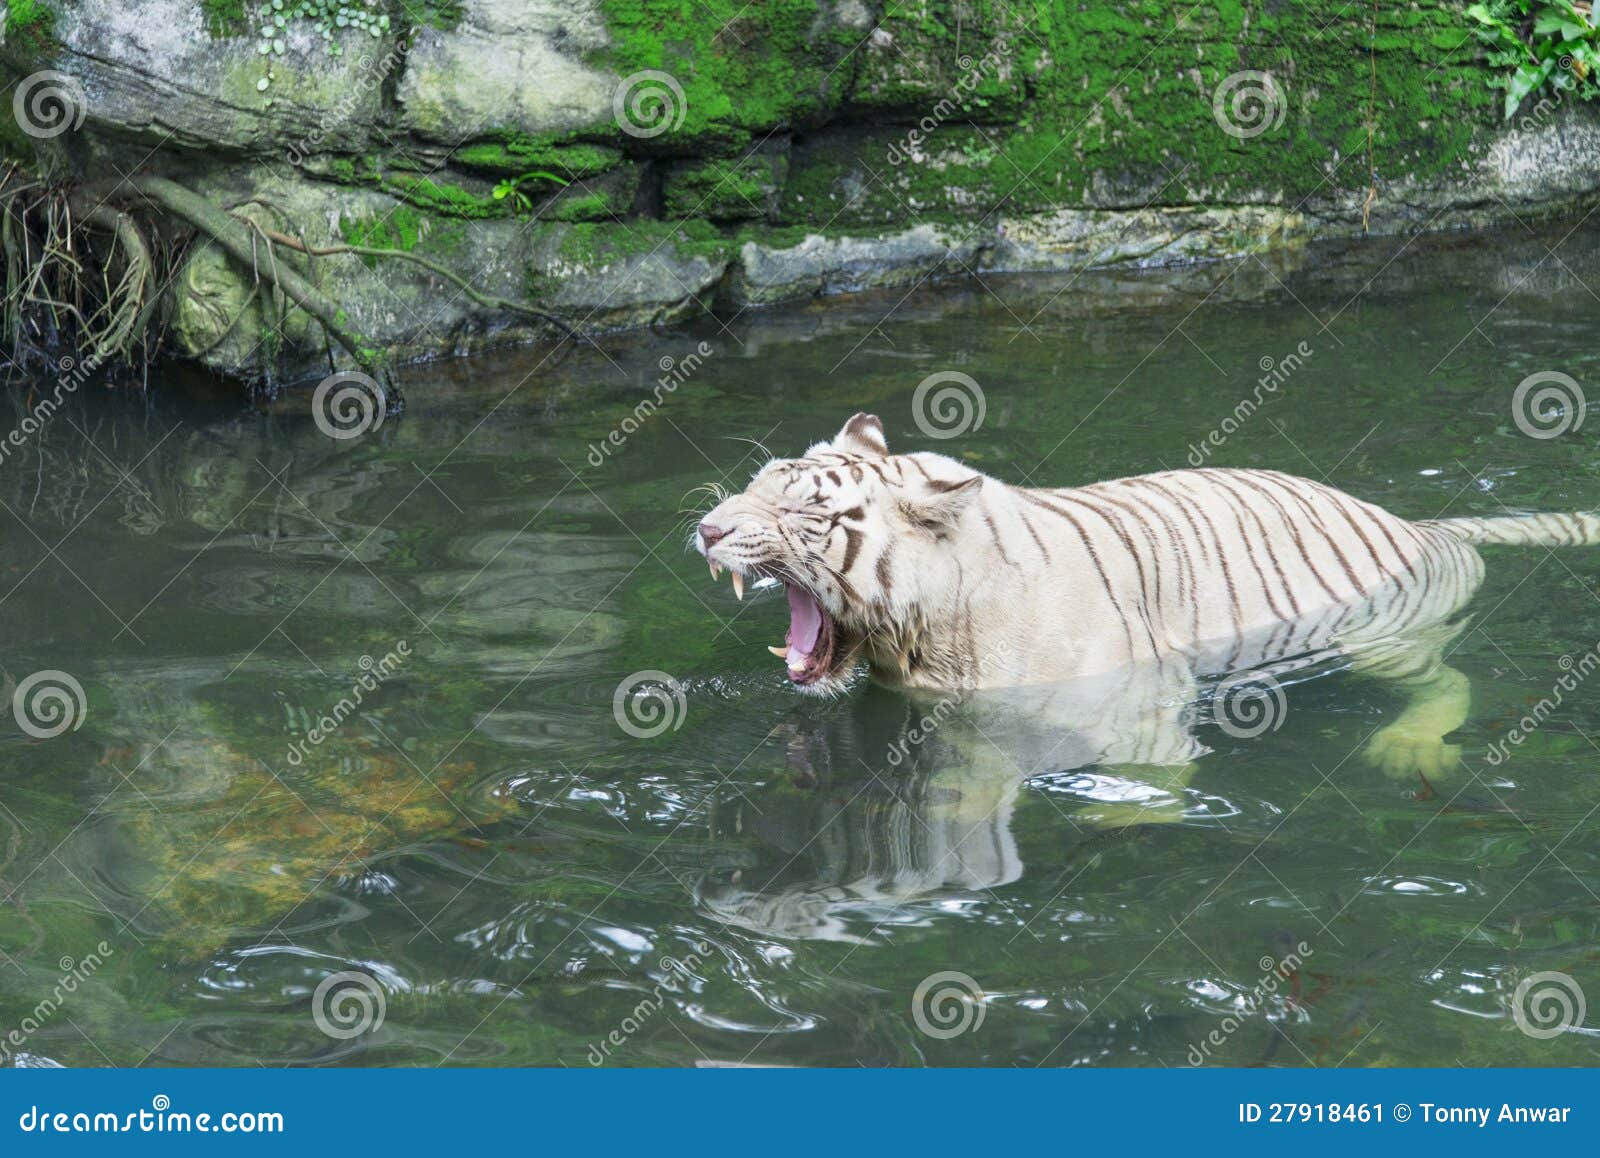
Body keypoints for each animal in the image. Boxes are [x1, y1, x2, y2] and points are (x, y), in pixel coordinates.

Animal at [693, 413, 1600, 786]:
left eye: (805, 510)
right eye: (758, 482)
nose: (705, 529)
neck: (922, 631)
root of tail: (1419, 524)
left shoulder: (1130, 699)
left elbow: (1152, 771)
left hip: (1386, 637)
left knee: (1447, 682)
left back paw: (1408, 747)